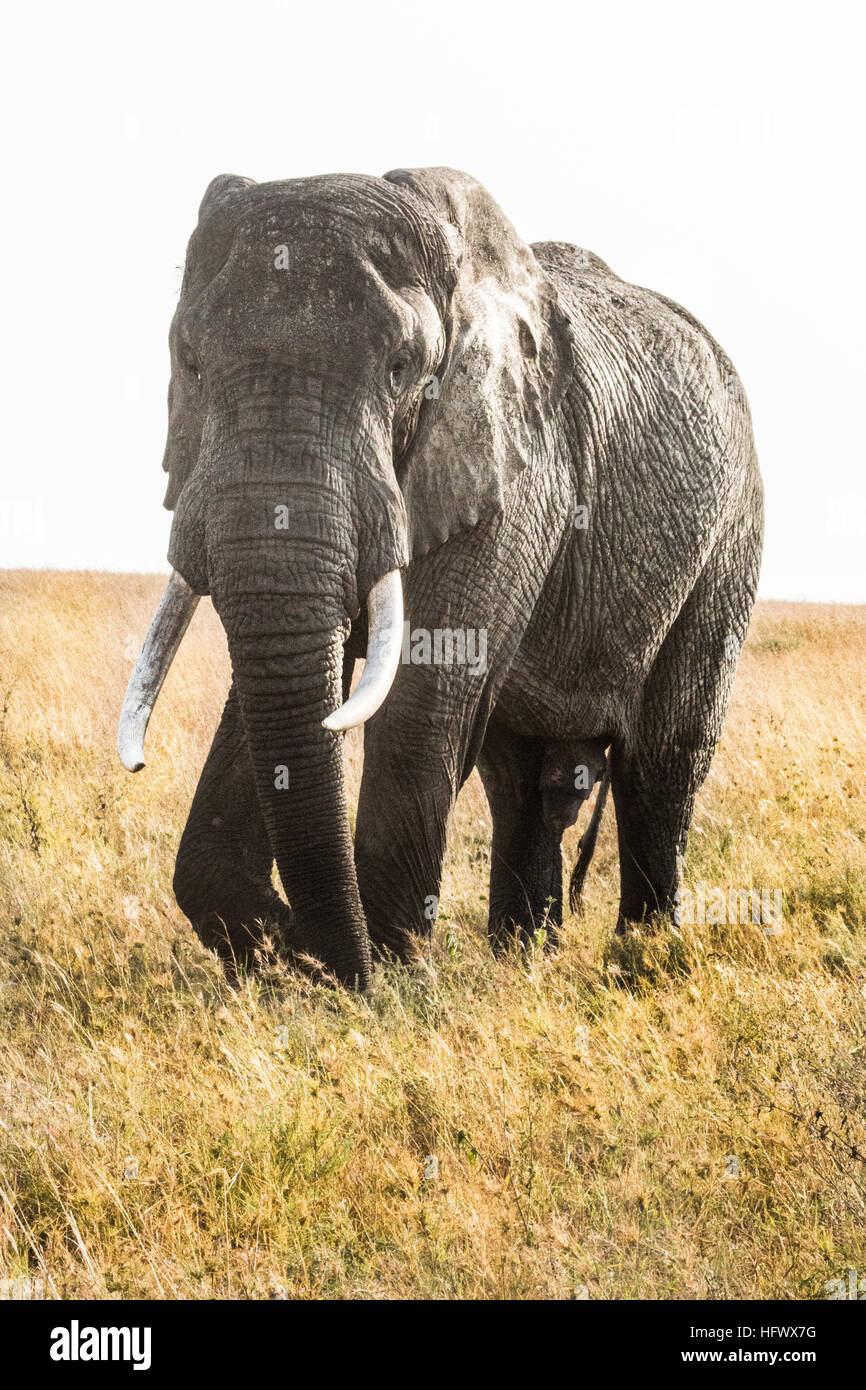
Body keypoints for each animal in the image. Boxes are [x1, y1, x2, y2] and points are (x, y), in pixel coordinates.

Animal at [119, 167, 764, 989]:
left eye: (402, 370)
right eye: (190, 363)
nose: (311, 950)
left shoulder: (515, 471)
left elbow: (421, 703)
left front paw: (382, 980)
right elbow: (271, 692)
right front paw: (292, 953)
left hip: (731, 533)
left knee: (663, 761)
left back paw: (639, 964)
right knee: (519, 778)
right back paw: (524, 960)